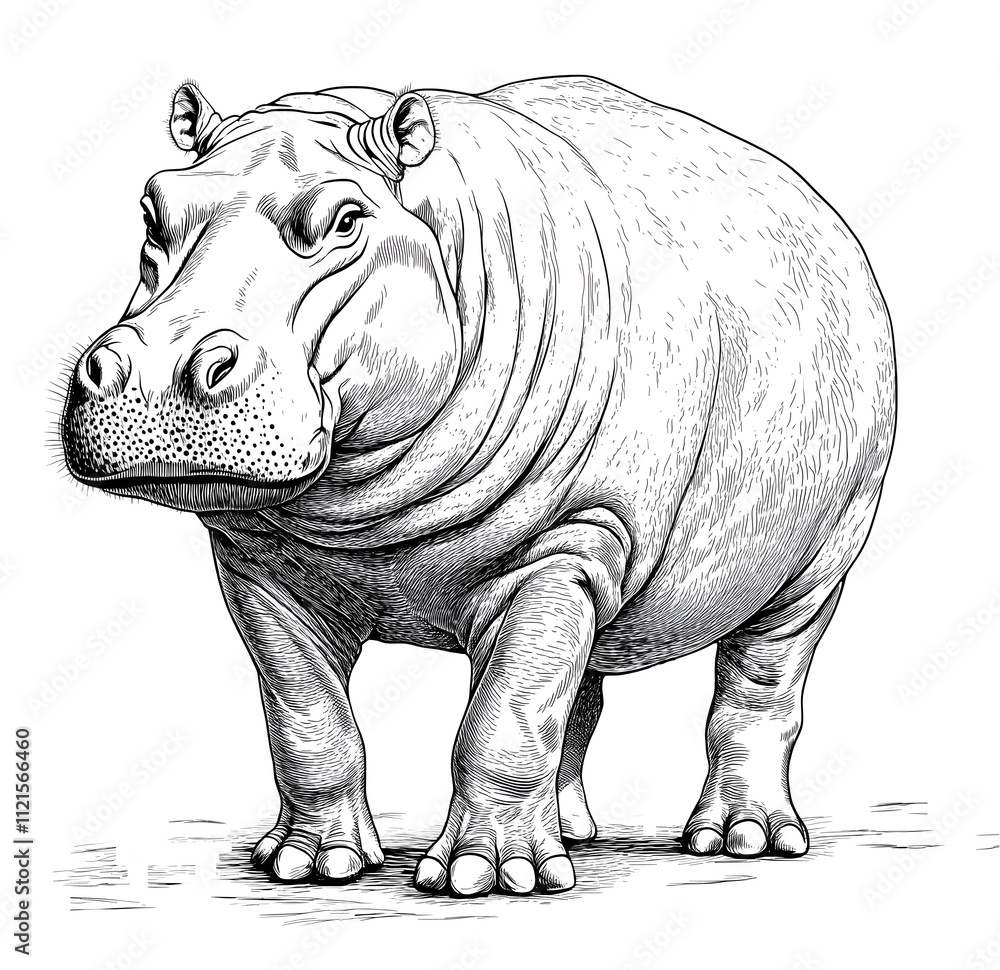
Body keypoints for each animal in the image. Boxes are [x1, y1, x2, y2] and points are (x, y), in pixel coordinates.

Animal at [60, 76, 896, 897]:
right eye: (151, 208)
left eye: (345, 218)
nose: (155, 371)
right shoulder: (257, 560)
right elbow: (309, 716)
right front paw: (308, 865)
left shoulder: (566, 543)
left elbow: (503, 716)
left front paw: (481, 878)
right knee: (577, 690)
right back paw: (572, 837)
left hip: (823, 551)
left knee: (762, 681)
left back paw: (742, 840)